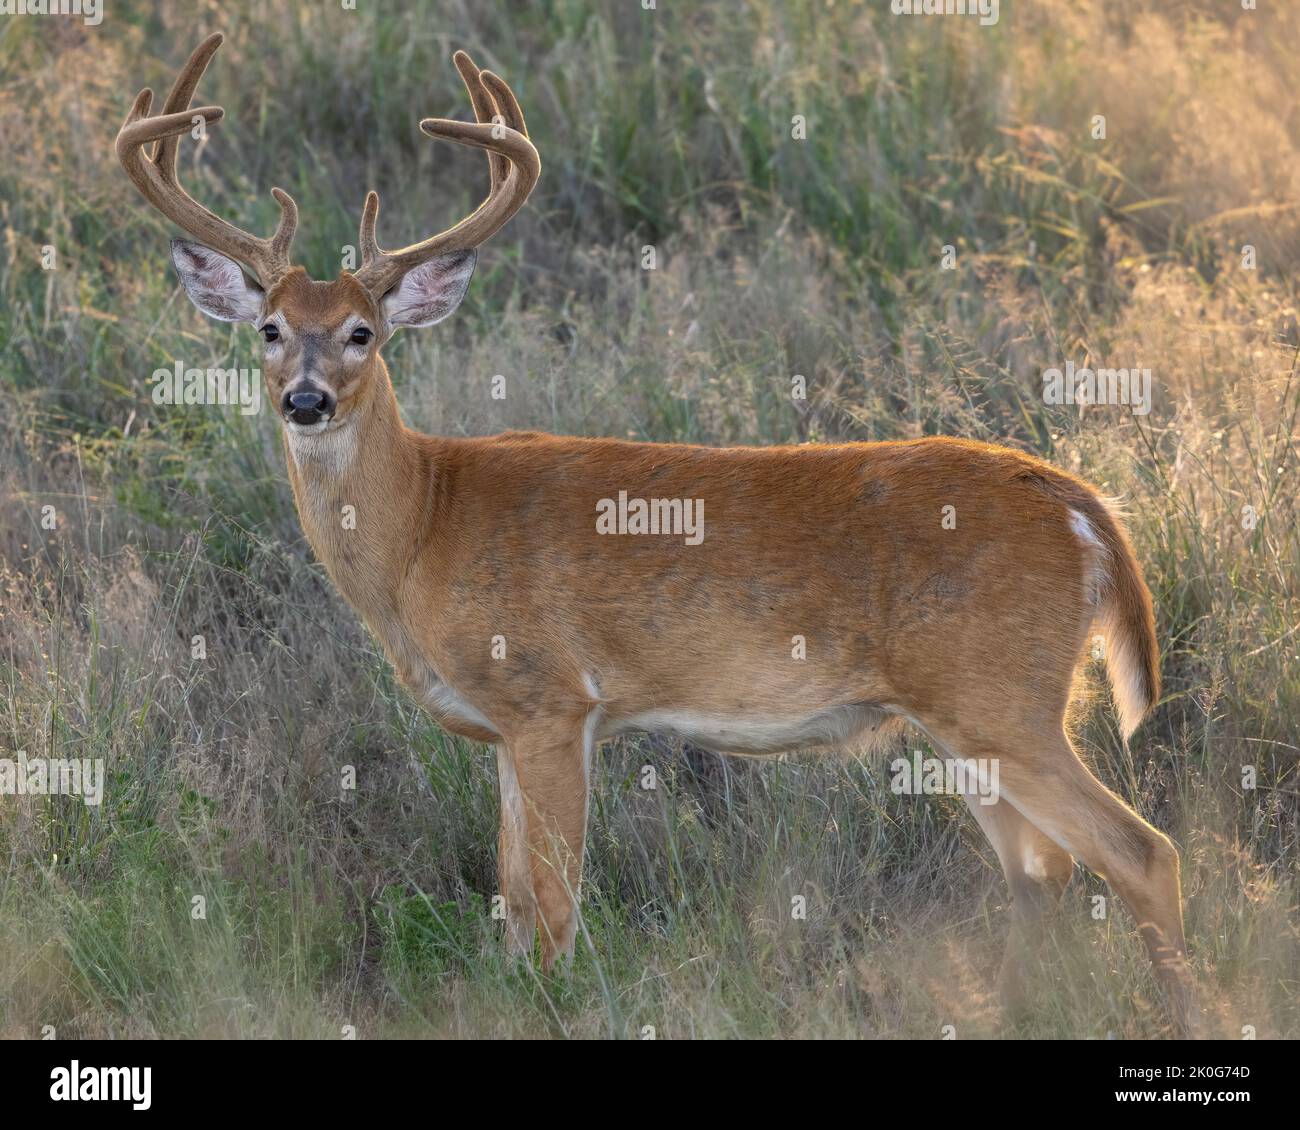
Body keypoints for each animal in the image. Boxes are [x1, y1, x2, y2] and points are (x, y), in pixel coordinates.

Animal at [118, 34, 1200, 1036]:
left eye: (361, 332)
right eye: (267, 328)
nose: (305, 400)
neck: (424, 525)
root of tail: (1086, 508)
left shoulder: (552, 696)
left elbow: (552, 907)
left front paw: (554, 1008)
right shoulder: (504, 728)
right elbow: (513, 901)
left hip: (999, 694)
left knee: (1139, 852)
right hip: (962, 717)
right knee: (1043, 871)